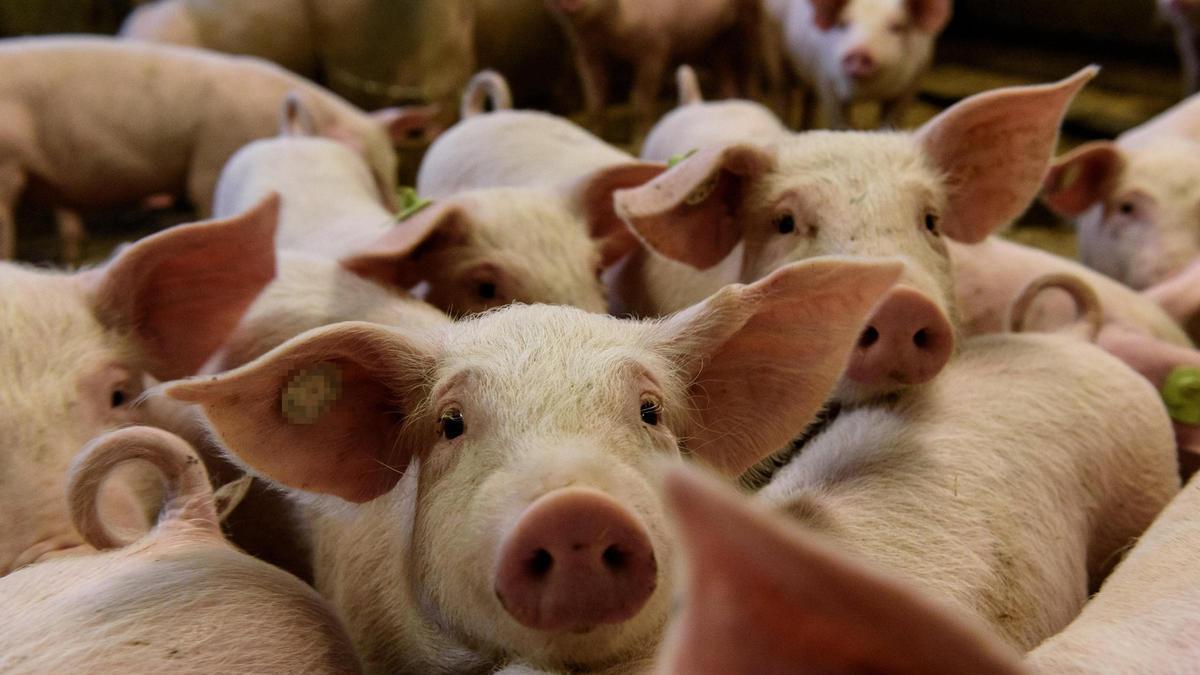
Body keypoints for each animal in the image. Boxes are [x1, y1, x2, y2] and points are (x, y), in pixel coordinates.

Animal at [546, 0, 766, 138]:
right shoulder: (585, 51)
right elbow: (595, 103)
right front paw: (595, 136)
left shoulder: (655, 48)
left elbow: (640, 102)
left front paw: (640, 140)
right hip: (715, 39)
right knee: (724, 71)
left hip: (750, 17)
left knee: (750, 66)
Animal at [766, 0, 952, 129]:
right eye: (843, 24)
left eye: (896, 27)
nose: (859, 52)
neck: (867, 94)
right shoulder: (826, 81)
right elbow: (839, 122)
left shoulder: (911, 85)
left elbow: (891, 120)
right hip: (773, 48)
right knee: (782, 91)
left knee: (809, 98)